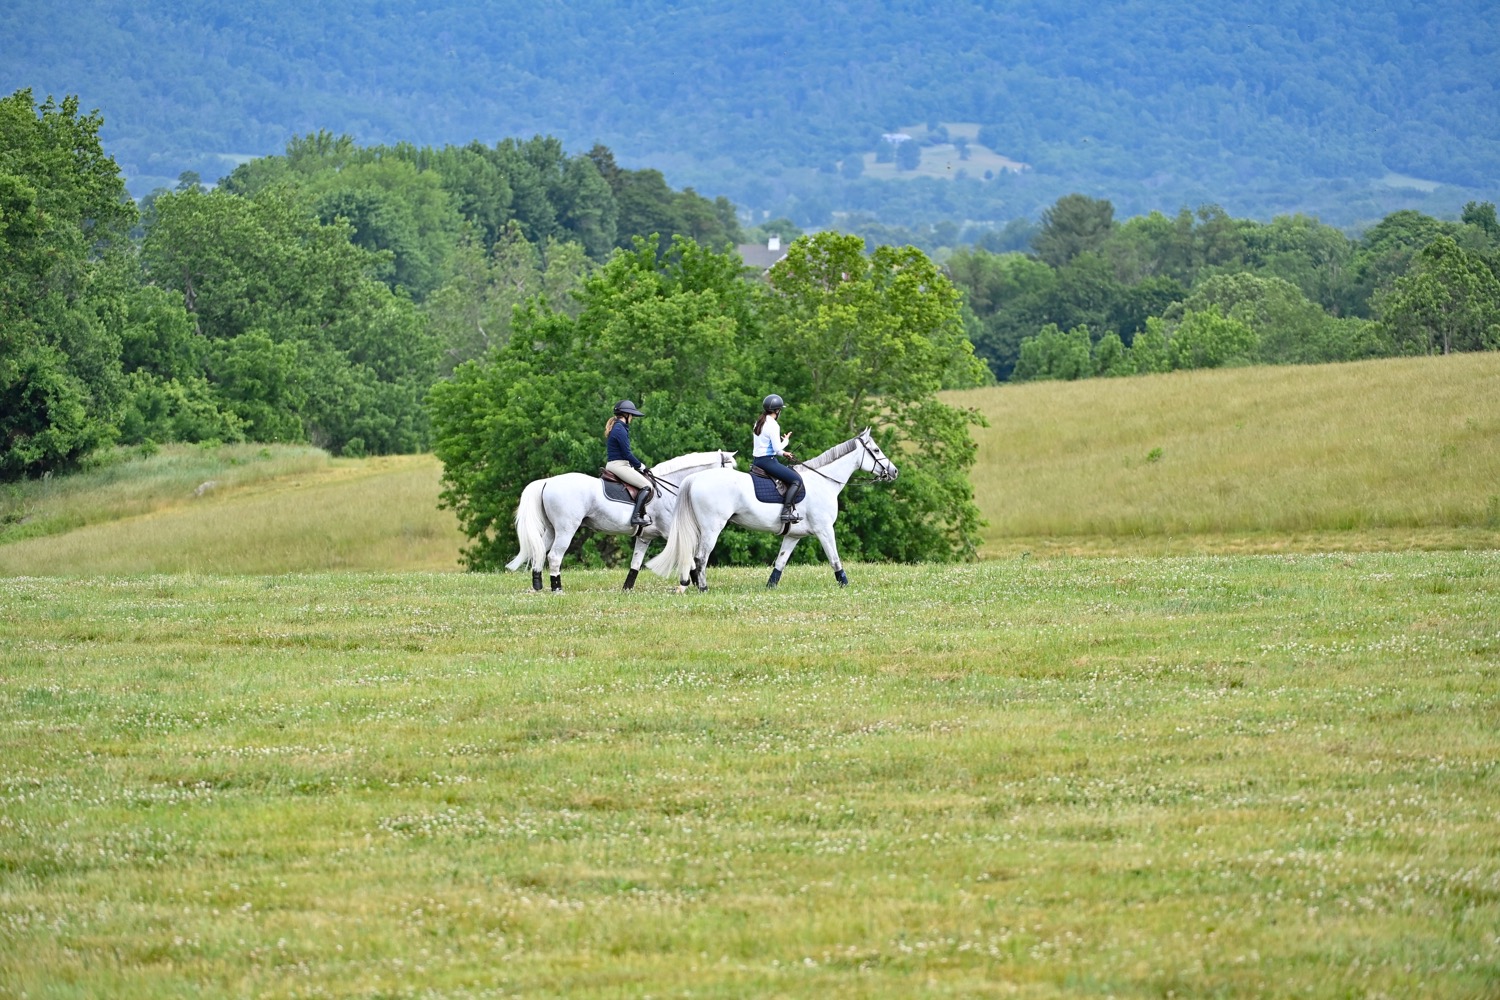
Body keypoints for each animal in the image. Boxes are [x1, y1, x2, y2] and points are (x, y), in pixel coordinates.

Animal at [506, 449, 737, 592]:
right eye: (731, 469)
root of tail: (547, 482)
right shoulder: (672, 532)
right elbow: (689, 557)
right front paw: (695, 583)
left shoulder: (645, 537)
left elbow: (635, 563)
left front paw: (626, 589)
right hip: (566, 529)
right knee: (554, 556)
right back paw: (557, 588)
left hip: (553, 529)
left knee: (539, 551)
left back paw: (538, 586)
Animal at [646, 428, 898, 591]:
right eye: (876, 450)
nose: (894, 471)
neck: (823, 481)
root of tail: (695, 478)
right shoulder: (825, 530)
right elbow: (835, 559)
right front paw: (845, 585)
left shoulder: (793, 536)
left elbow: (780, 562)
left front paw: (770, 587)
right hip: (711, 528)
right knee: (700, 557)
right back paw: (703, 588)